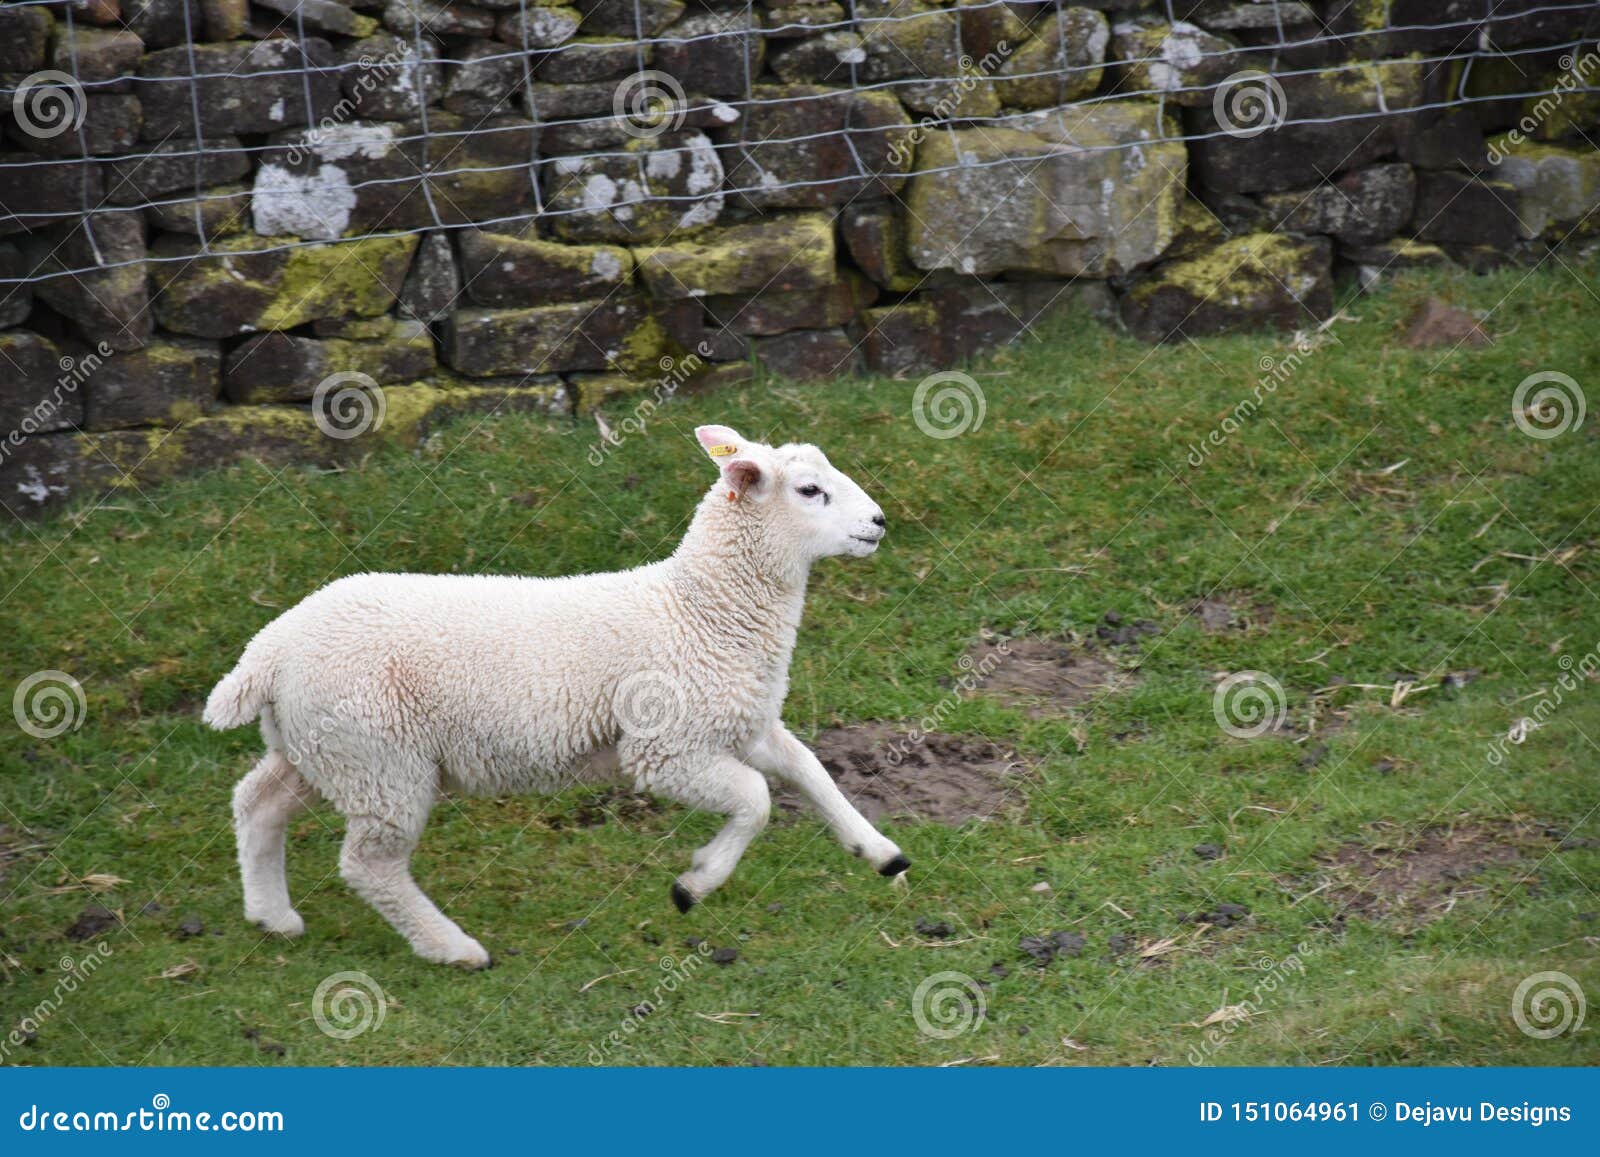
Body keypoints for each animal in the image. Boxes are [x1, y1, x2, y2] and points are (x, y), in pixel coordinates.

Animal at [205, 424, 910, 967]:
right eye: (810, 490)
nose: (878, 522)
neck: (700, 609)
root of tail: (268, 652)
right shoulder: (665, 749)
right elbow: (758, 801)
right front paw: (695, 883)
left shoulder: (743, 722)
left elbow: (809, 770)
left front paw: (878, 852)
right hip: (380, 759)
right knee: (367, 864)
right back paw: (451, 948)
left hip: (321, 749)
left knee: (257, 803)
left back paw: (271, 915)